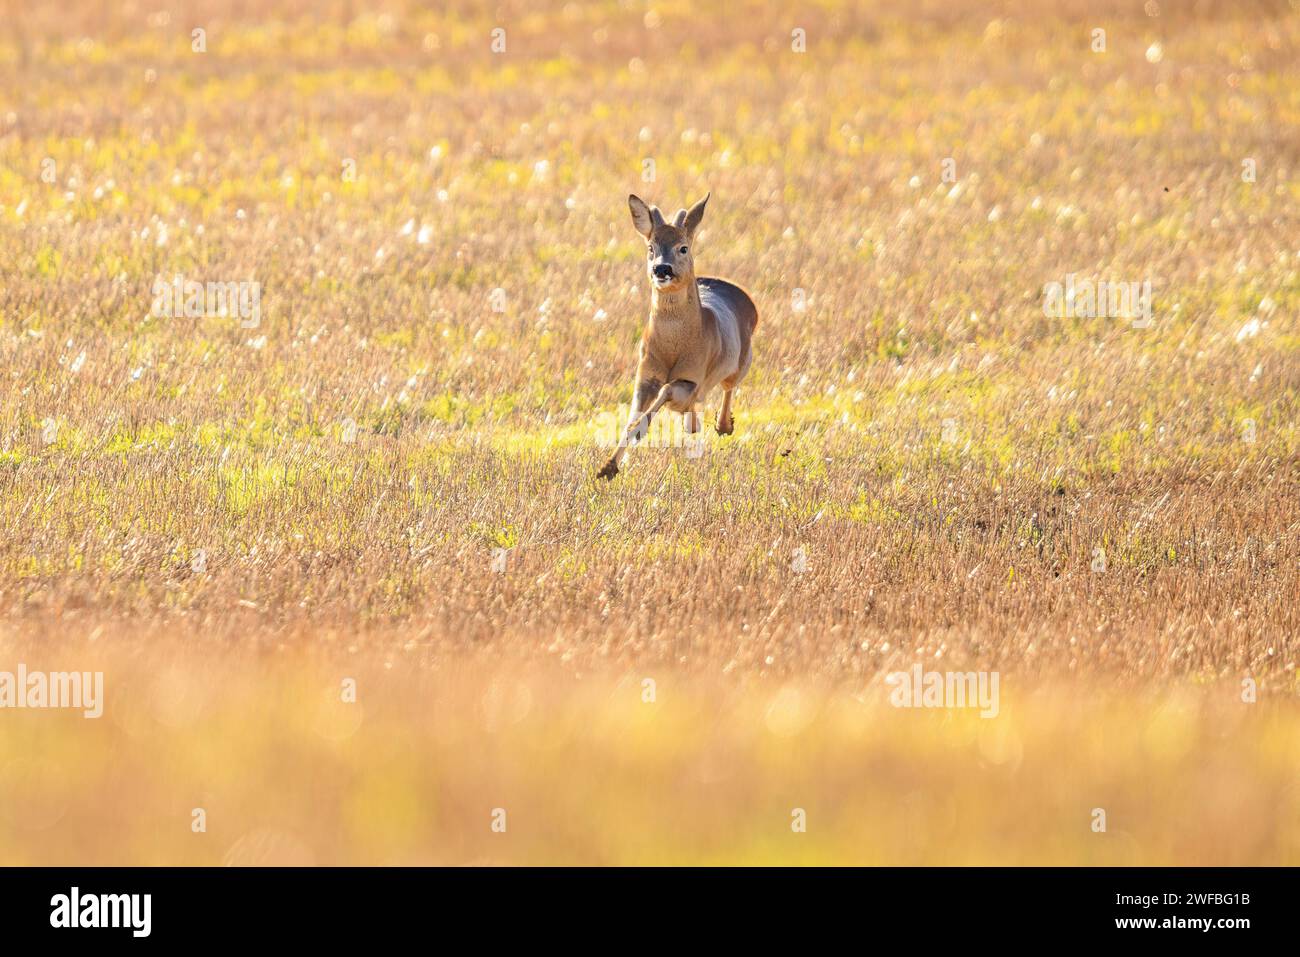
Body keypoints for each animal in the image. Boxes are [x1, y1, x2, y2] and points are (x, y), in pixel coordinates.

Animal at [596, 192, 758, 480]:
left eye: (683, 247)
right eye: (651, 247)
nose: (662, 269)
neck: (673, 347)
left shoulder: (693, 376)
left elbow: (667, 390)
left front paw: (641, 431)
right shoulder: (646, 371)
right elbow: (632, 415)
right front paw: (607, 467)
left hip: (743, 361)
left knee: (729, 386)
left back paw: (723, 425)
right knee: (695, 414)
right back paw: (695, 424)